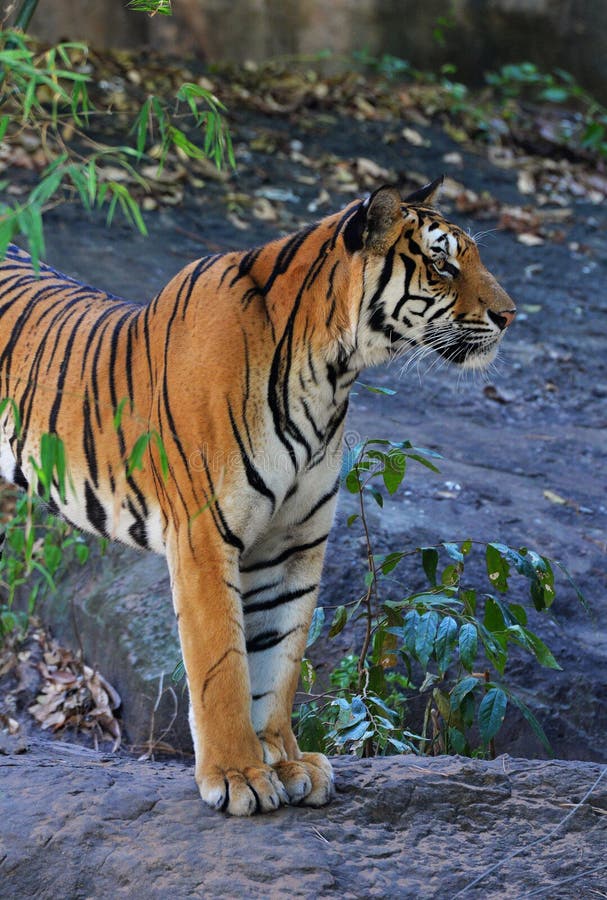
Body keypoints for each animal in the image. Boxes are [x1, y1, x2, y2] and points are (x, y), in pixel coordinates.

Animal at [0, 177, 515, 815]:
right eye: (443, 263)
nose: (510, 316)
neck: (331, 371)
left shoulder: (294, 543)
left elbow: (279, 659)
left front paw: (287, 762)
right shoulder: (203, 533)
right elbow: (223, 663)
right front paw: (237, 774)